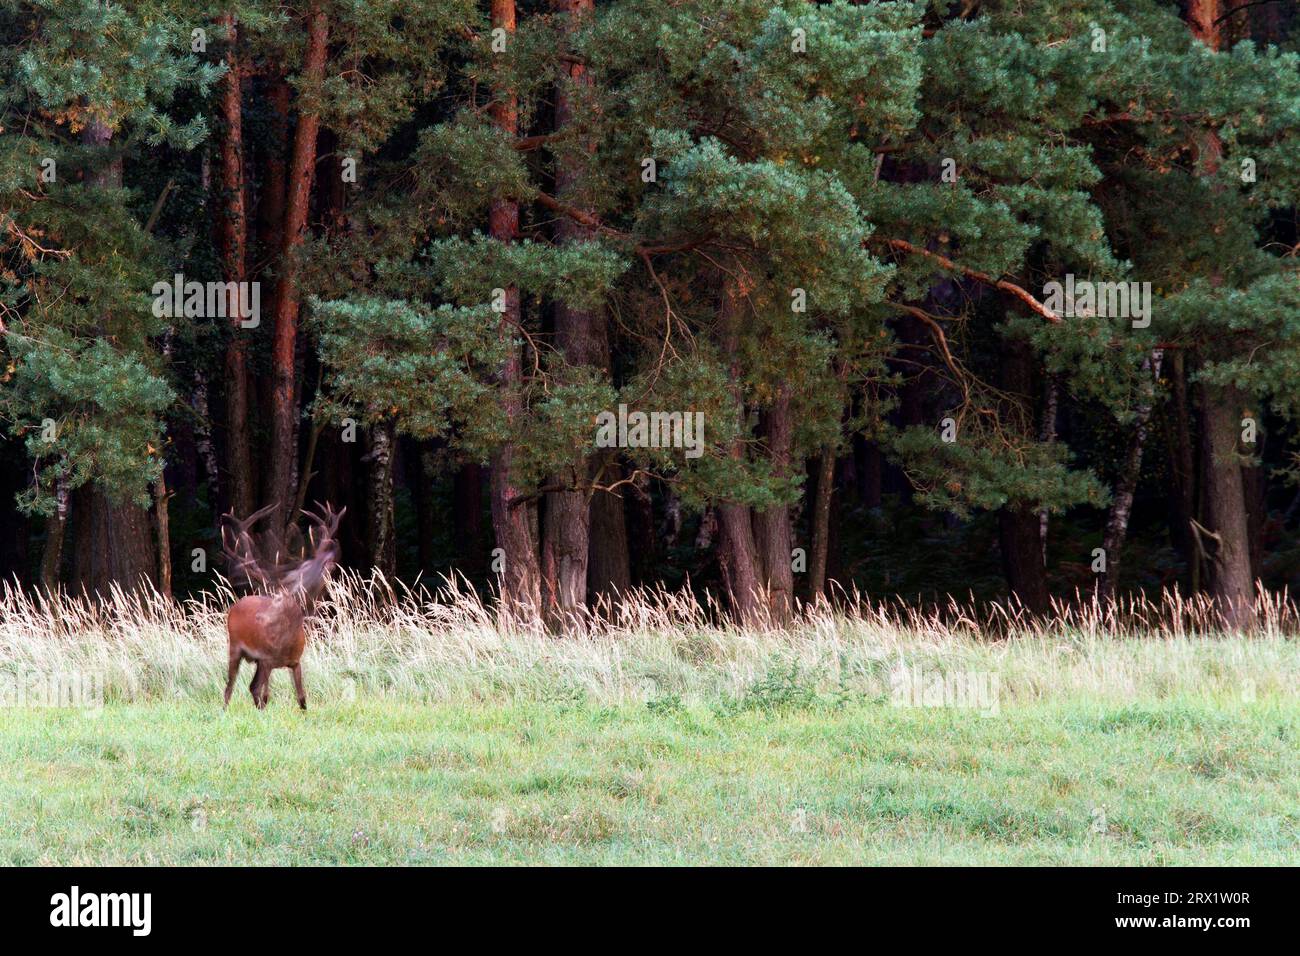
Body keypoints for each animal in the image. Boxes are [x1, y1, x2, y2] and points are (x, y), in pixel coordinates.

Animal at [220, 502, 345, 711]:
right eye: (301, 571)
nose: (332, 551)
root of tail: (238, 603)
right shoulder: (267, 659)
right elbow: (263, 694)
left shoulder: (295, 661)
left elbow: (302, 698)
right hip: (235, 647)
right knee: (232, 686)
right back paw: (225, 710)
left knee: (253, 688)